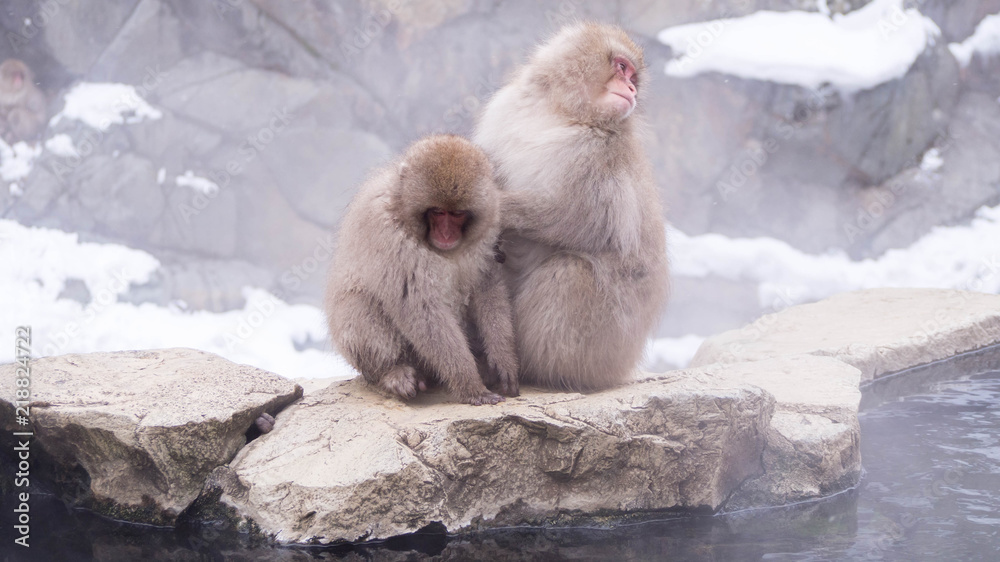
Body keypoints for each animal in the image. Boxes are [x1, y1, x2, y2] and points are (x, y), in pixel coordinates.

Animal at [325, 134, 519, 405]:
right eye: (437, 212)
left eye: (457, 214)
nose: (446, 235)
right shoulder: (387, 231)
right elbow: (418, 306)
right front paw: (470, 385)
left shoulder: (490, 226)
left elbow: (485, 283)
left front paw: (503, 358)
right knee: (357, 302)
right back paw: (393, 372)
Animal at [473, 22, 669, 392]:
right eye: (622, 67)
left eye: (633, 78)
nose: (631, 89)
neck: (561, 113)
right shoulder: (506, 110)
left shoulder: (600, 153)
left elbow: (578, 218)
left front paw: (500, 208)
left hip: (609, 343)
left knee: (570, 273)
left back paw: (532, 369)